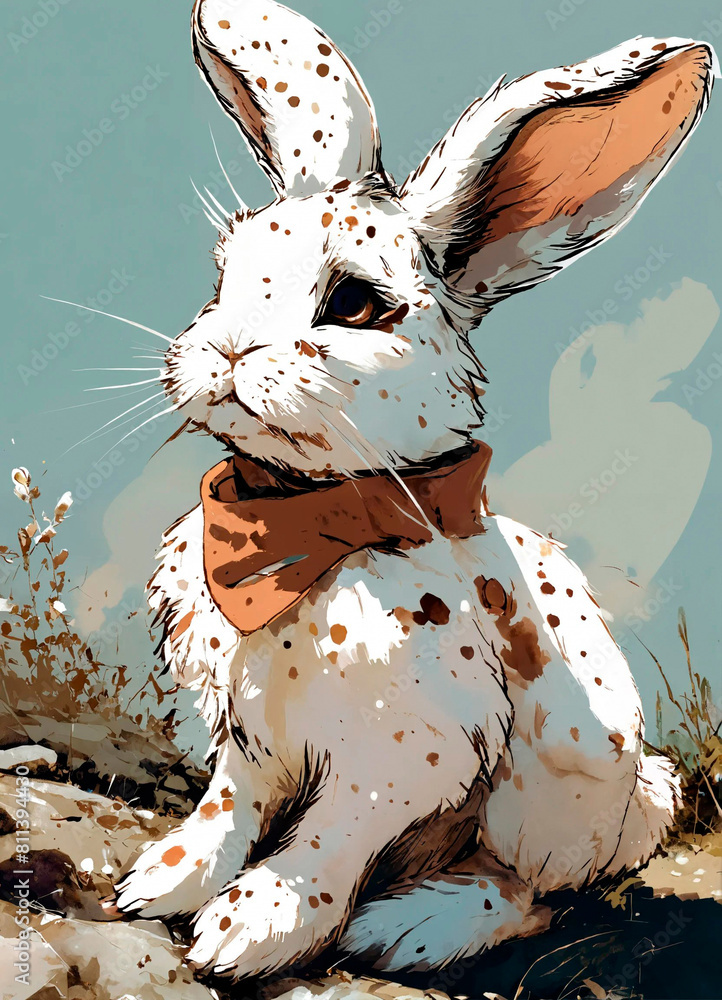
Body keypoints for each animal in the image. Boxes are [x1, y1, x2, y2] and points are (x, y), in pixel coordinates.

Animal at [105, 0, 714, 982]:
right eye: (224, 271)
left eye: (355, 304)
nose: (226, 351)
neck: (301, 520)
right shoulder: (246, 735)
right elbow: (228, 806)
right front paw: (163, 881)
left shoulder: (401, 756)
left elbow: (327, 841)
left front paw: (250, 931)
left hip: (563, 797)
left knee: (532, 894)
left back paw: (415, 927)